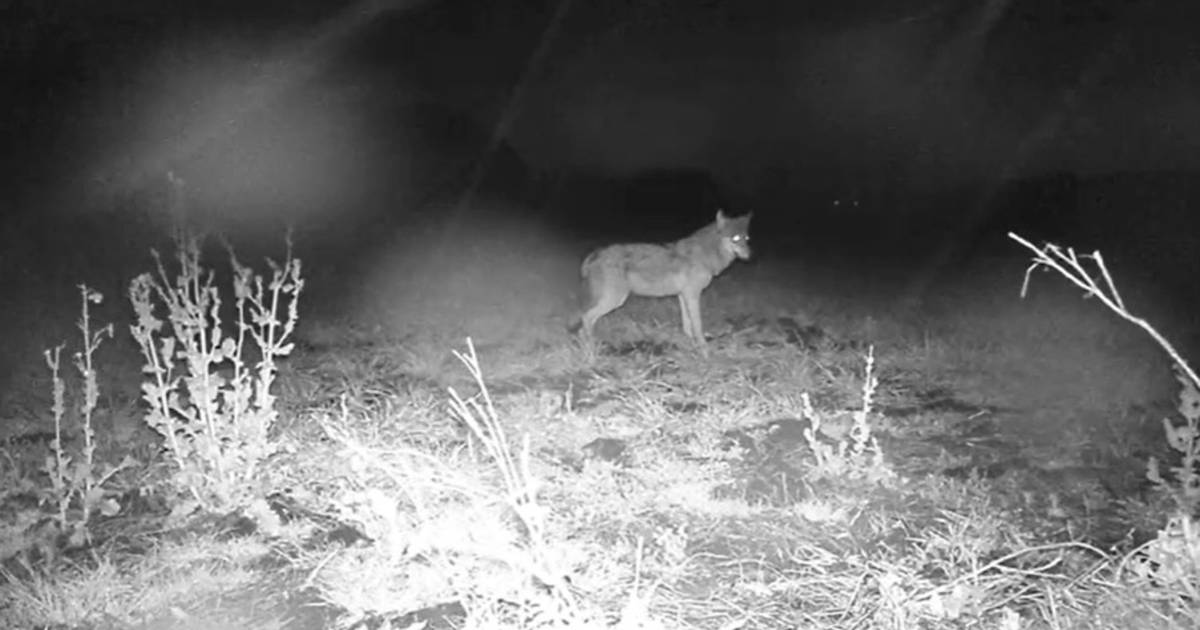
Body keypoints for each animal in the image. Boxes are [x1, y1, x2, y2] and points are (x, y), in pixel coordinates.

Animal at [570, 210, 752, 349]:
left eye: (746, 239)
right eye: (735, 239)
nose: (749, 256)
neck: (706, 254)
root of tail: (595, 254)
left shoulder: (683, 295)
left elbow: (687, 324)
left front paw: (689, 340)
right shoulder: (692, 295)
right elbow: (698, 324)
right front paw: (703, 347)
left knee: (583, 325)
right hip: (614, 300)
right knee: (586, 319)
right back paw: (592, 348)